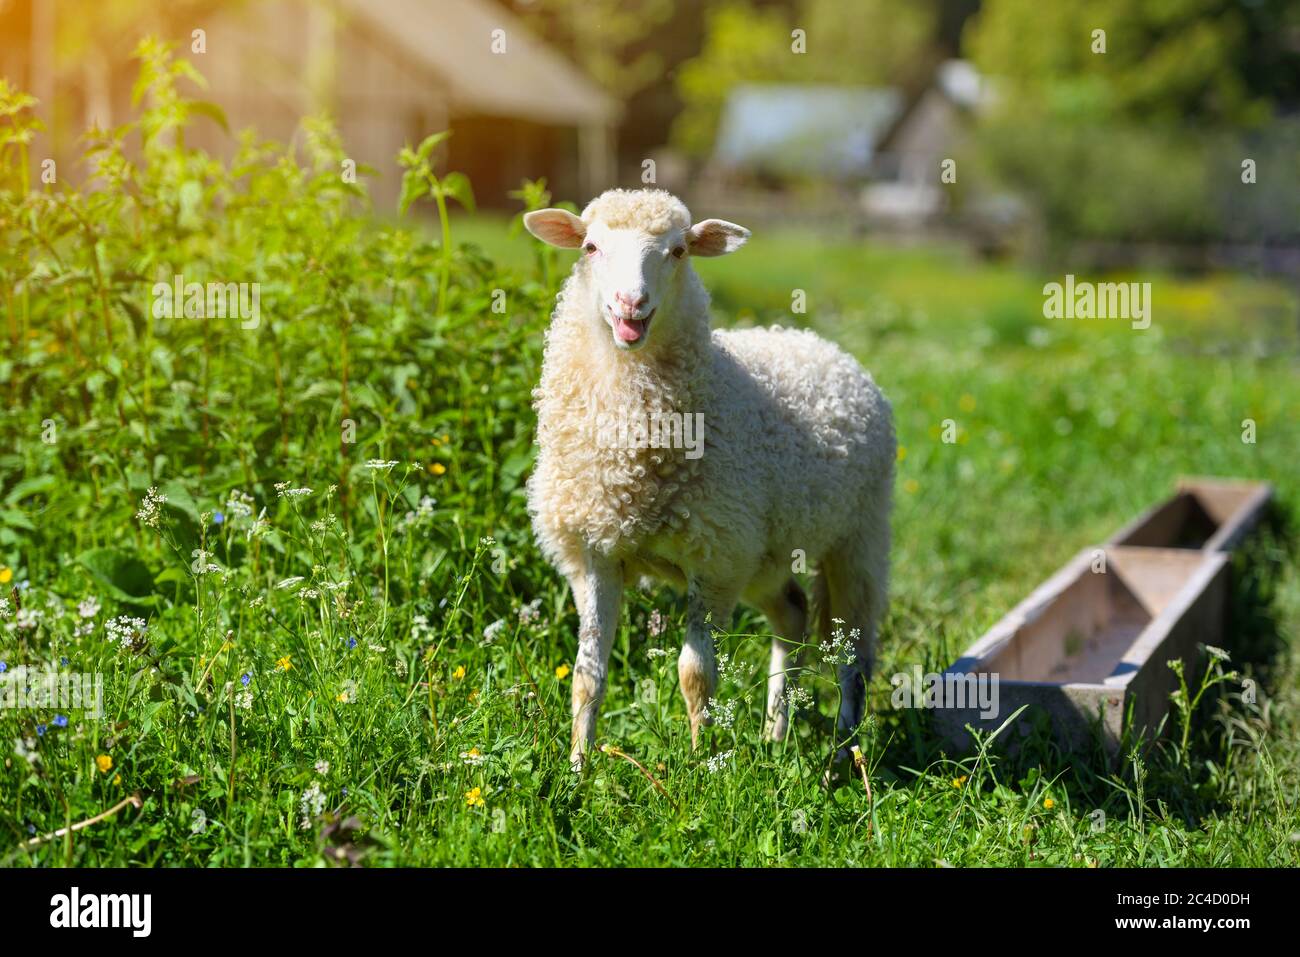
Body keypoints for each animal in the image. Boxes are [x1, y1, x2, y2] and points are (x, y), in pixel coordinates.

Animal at [523, 188, 895, 769]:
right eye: (590, 247)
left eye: (678, 251)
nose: (630, 305)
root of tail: (821, 345)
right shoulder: (593, 551)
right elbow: (587, 675)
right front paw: (577, 767)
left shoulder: (716, 556)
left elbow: (695, 673)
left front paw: (701, 765)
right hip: (763, 553)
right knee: (792, 613)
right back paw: (774, 735)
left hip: (859, 535)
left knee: (854, 656)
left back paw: (841, 756)